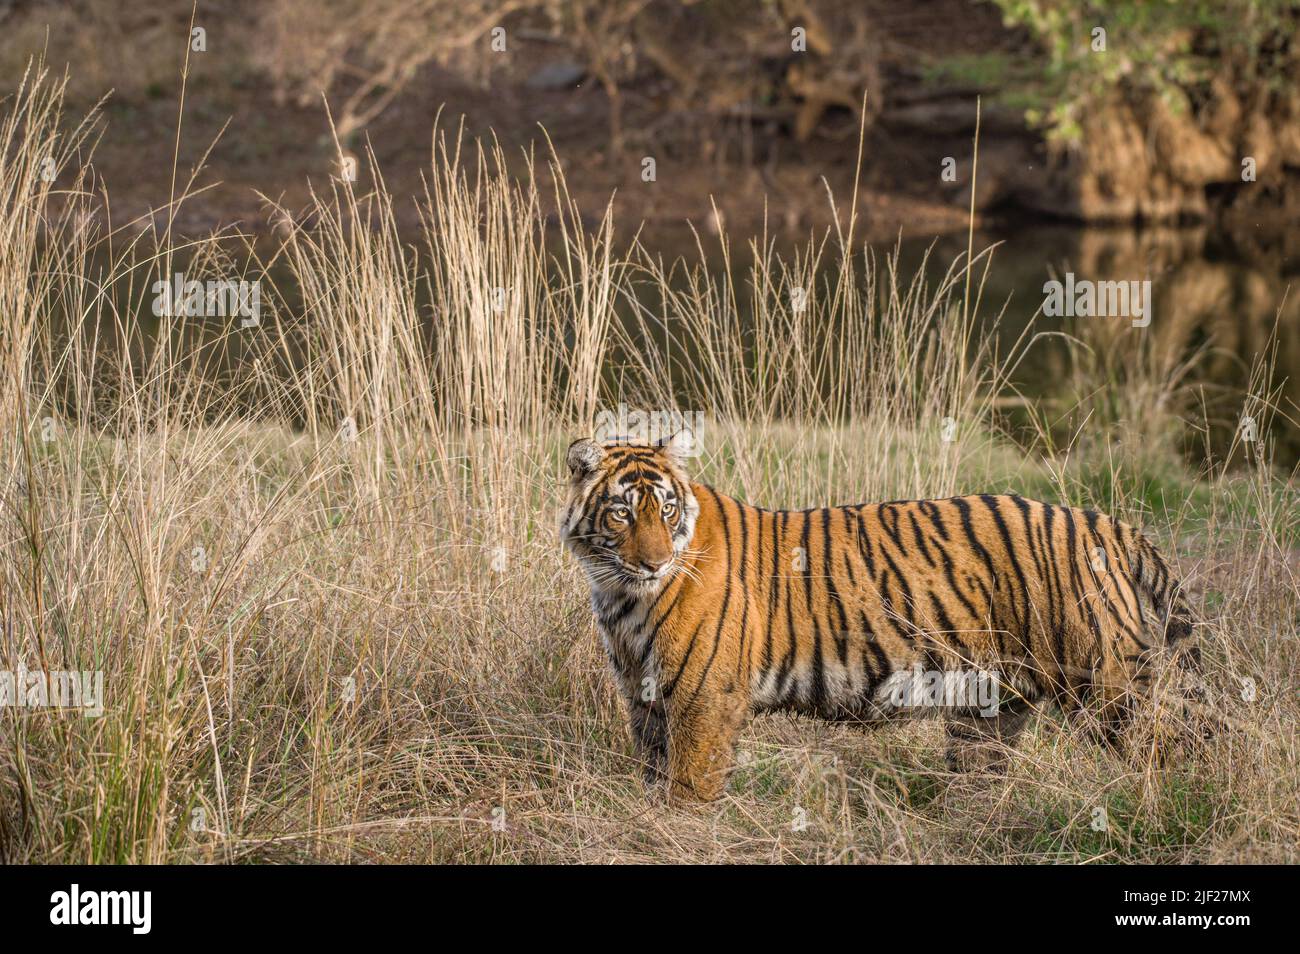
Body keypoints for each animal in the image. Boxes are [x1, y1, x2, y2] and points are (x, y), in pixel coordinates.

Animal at [558, 431, 1197, 803]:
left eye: (666, 510)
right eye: (621, 513)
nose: (655, 562)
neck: (619, 593)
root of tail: (1105, 524)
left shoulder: (702, 697)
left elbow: (688, 784)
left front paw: (682, 828)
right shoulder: (644, 695)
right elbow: (653, 773)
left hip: (1111, 685)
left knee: (1174, 748)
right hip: (992, 707)